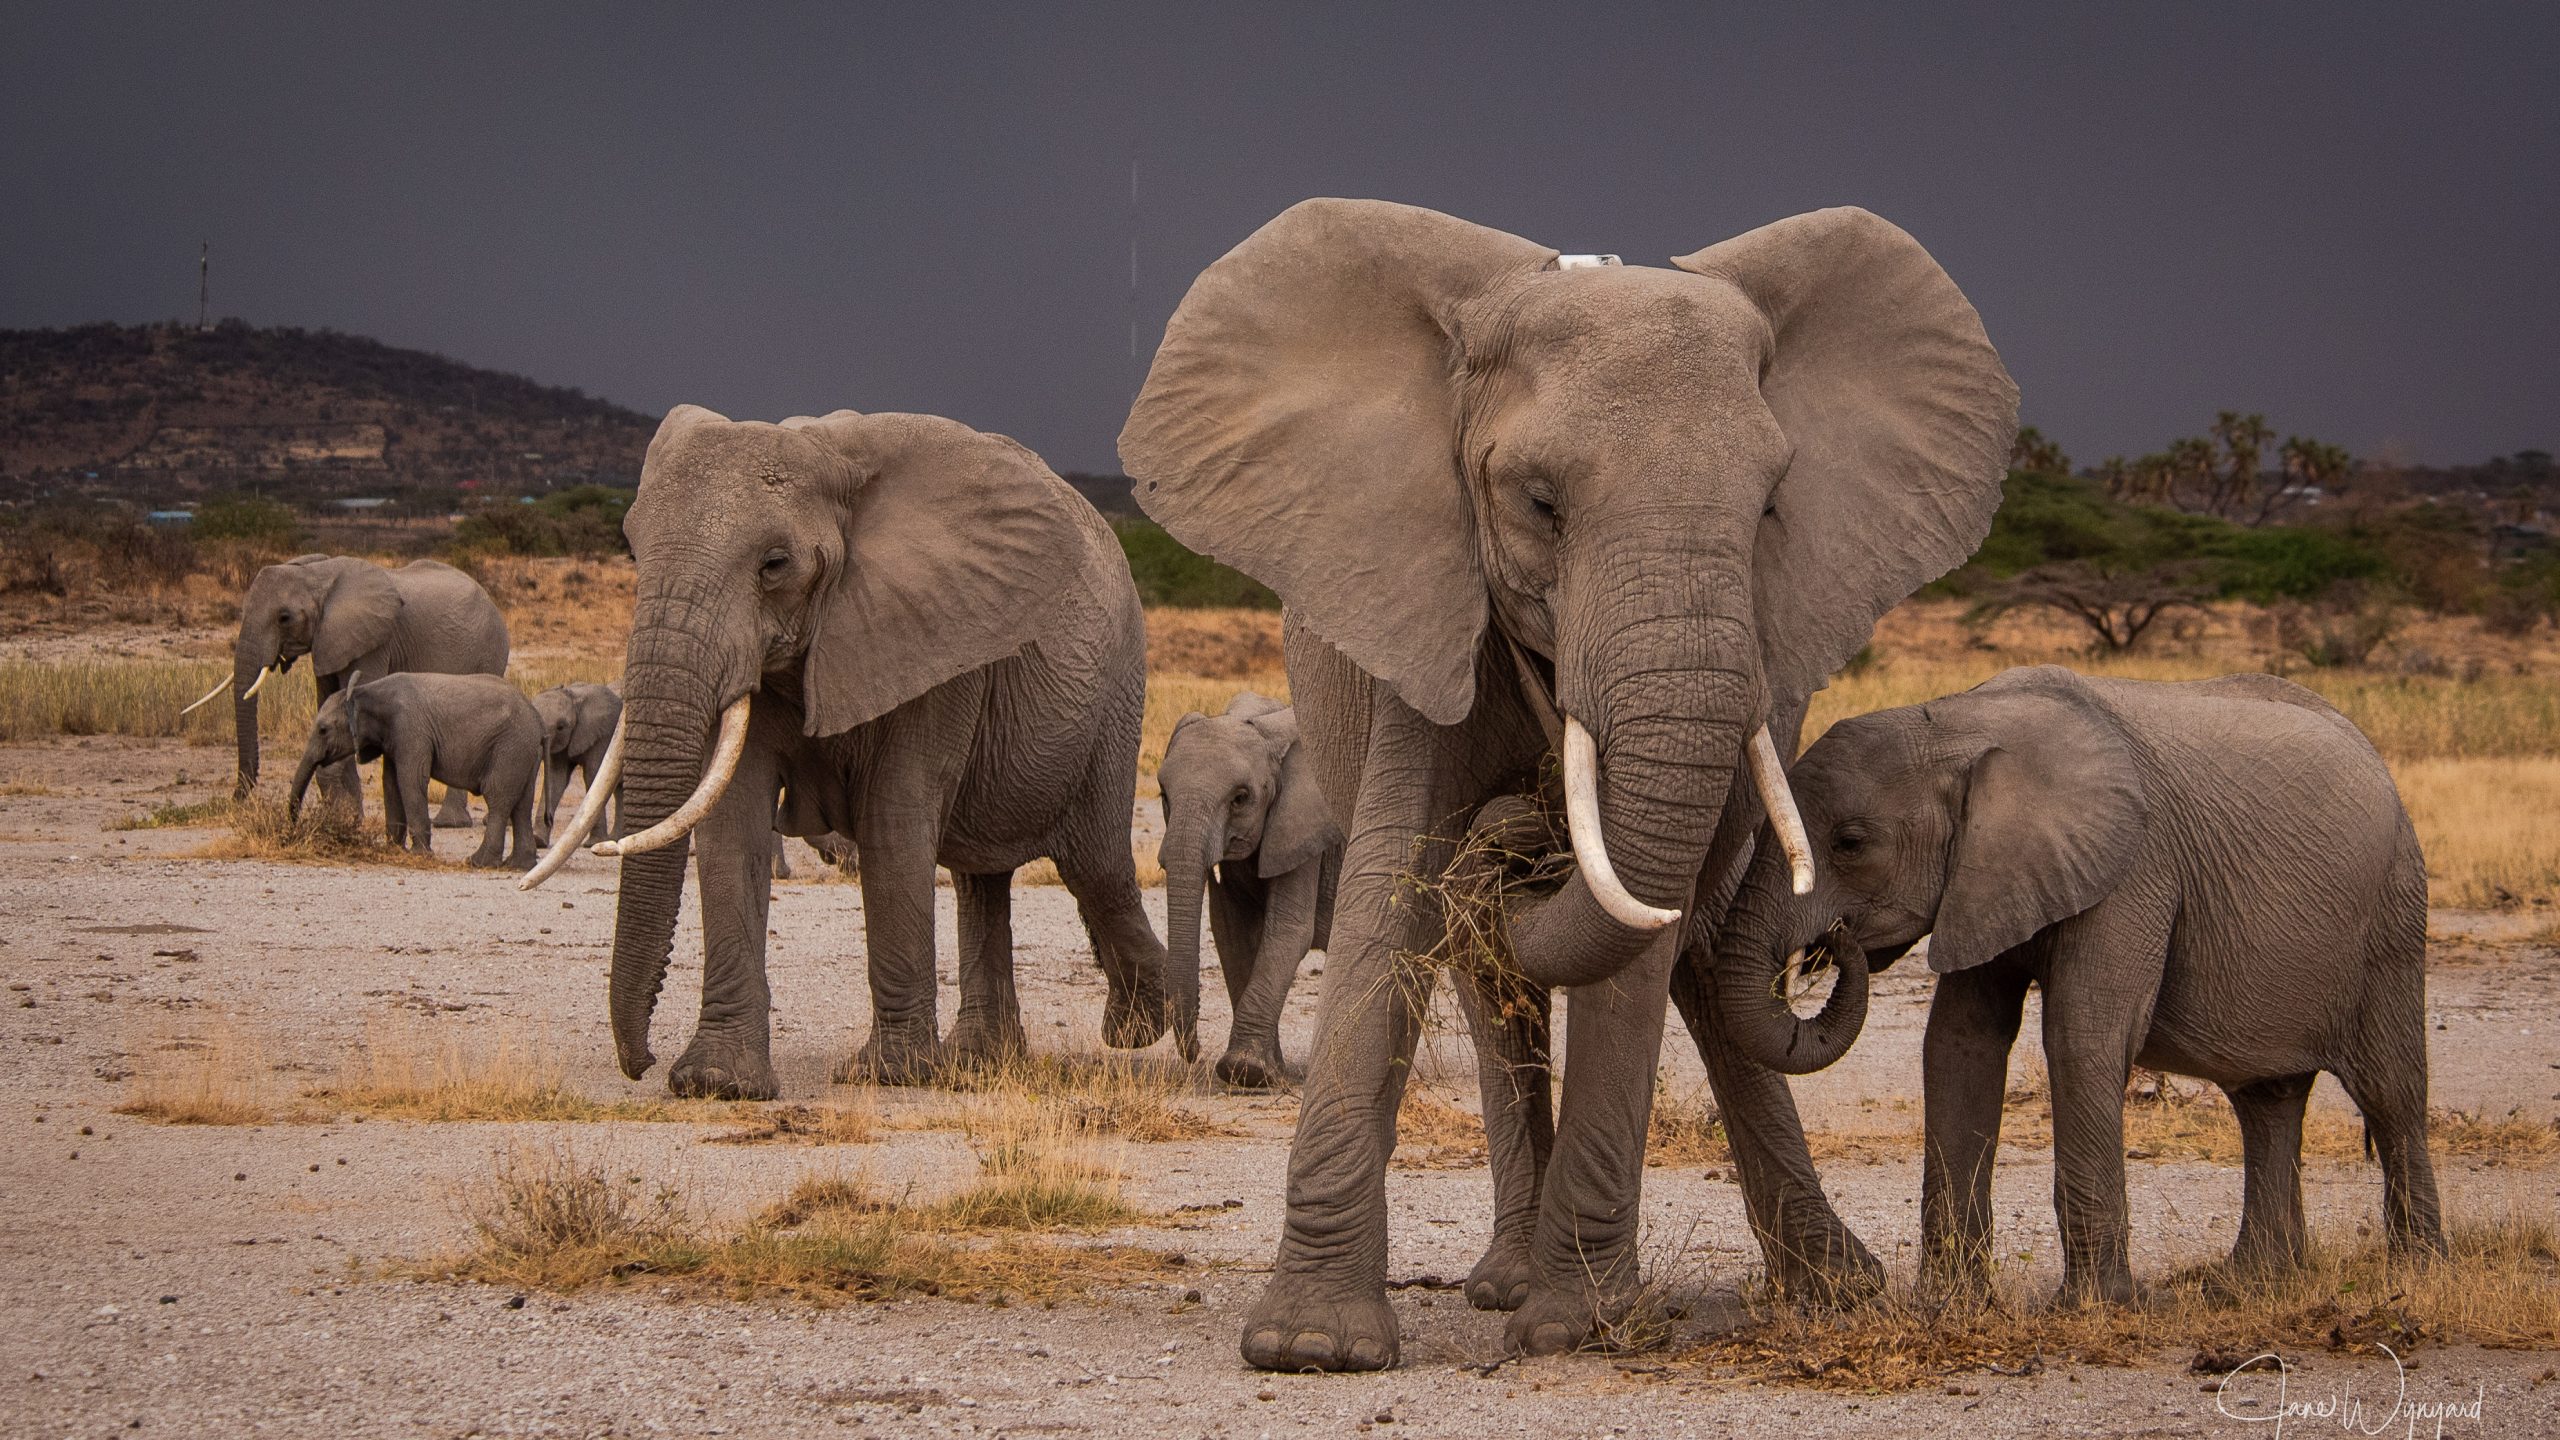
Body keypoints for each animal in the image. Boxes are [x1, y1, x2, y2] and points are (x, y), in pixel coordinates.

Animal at [186, 555, 508, 827]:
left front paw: (345, 820)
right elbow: (328, 700)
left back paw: (450, 823)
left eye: (284, 618)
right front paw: (345, 818)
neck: (318, 574)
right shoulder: (328, 642)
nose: (236, 800)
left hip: (488, 651)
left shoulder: (373, 641)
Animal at [289, 671, 543, 869]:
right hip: (524, 751)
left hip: (509, 746)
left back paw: (477, 862)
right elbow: (391, 783)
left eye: (323, 730)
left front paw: (419, 854)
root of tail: (536, 716)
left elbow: (410, 780)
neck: (364, 690)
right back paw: (518, 865)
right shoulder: (393, 738)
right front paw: (392, 849)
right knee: (521, 804)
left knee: (498, 799)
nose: (293, 831)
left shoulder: (411, 731)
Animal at [525, 406, 1170, 1100]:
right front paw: (719, 1084)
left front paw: (891, 1076)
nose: (638, 1063)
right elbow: (732, 821)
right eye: (633, 551)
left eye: (775, 564)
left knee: (1095, 865)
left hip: (1115, 693)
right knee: (982, 876)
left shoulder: (935, 638)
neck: (827, 457)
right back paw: (981, 1062)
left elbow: (893, 818)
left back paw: (1142, 1027)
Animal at [1156, 691, 1341, 1088]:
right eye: (1163, 795)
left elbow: (1289, 931)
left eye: (1240, 799)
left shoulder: (1304, 826)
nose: (1194, 1053)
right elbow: (1232, 929)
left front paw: (1247, 1071)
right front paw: (1271, 1073)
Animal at [1712, 666, 2444, 1302]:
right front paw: (1949, 1306)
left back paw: (2416, 1272)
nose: (1829, 944)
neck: (1962, 724)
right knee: (2266, 1100)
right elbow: (1958, 1043)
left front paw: (2093, 1306)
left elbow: (2082, 1040)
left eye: (1851, 842)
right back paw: (2252, 1284)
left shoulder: (2133, 869)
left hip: (2394, 915)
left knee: (2390, 1091)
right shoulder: (1990, 875)